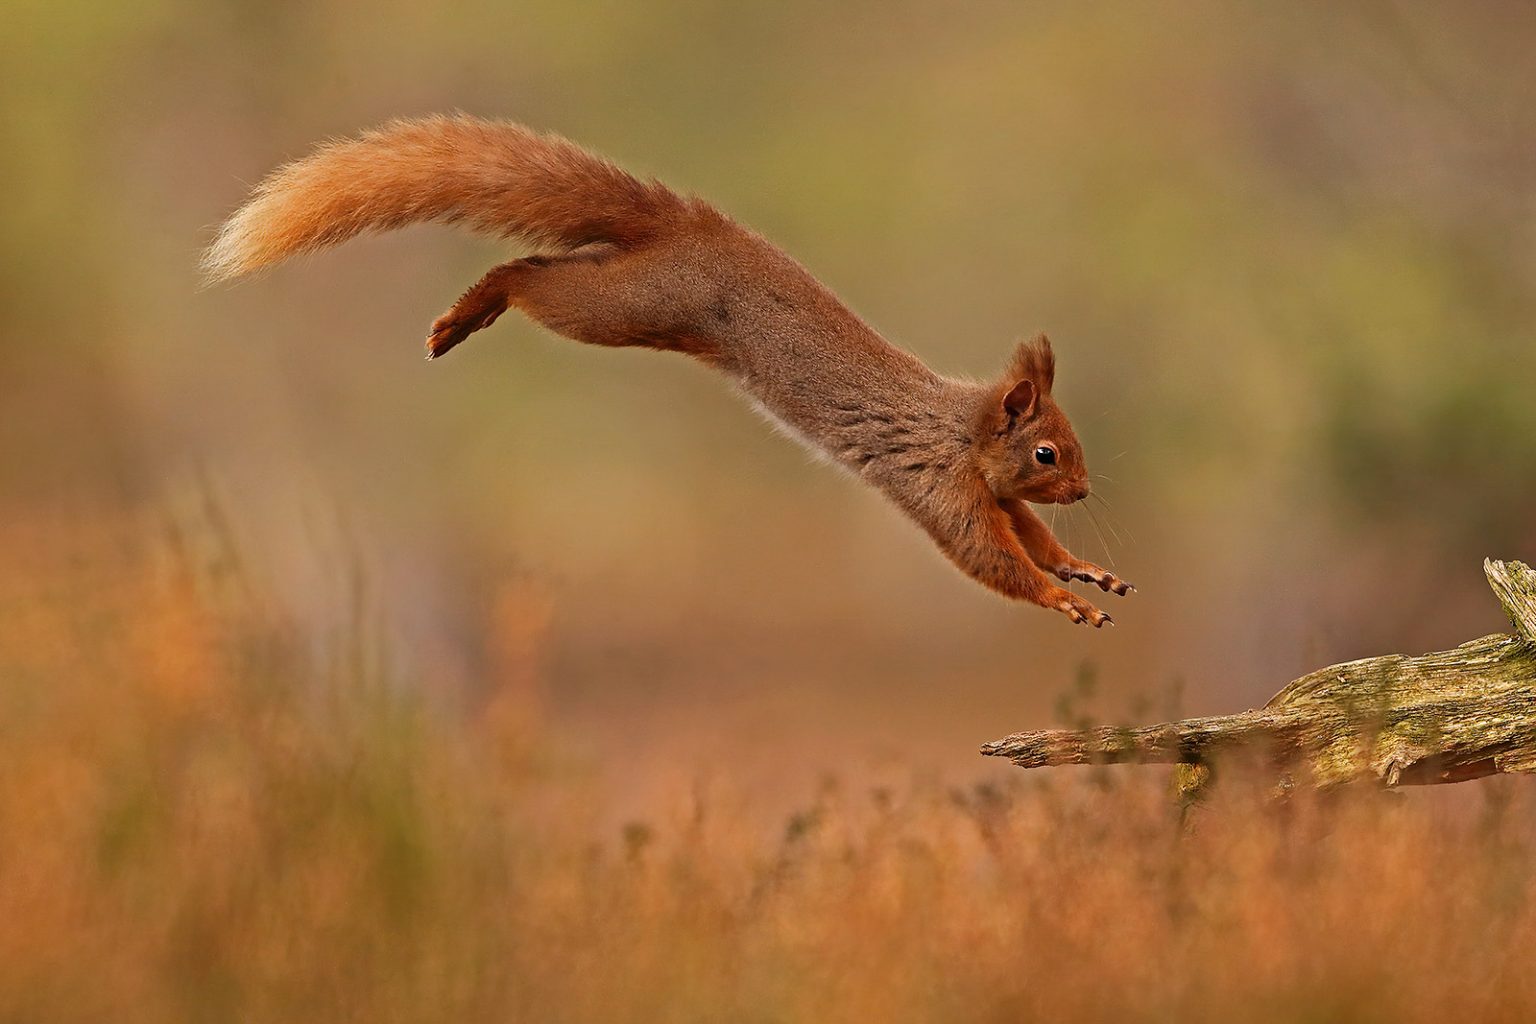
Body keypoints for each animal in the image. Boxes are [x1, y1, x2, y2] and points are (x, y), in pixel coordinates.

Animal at [205, 115, 1132, 626]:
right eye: (1048, 452)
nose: (1087, 490)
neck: (964, 431)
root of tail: (687, 225)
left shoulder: (995, 495)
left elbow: (1032, 538)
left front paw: (1082, 569)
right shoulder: (941, 487)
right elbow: (989, 560)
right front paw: (1063, 599)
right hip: (630, 306)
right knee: (534, 277)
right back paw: (474, 307)